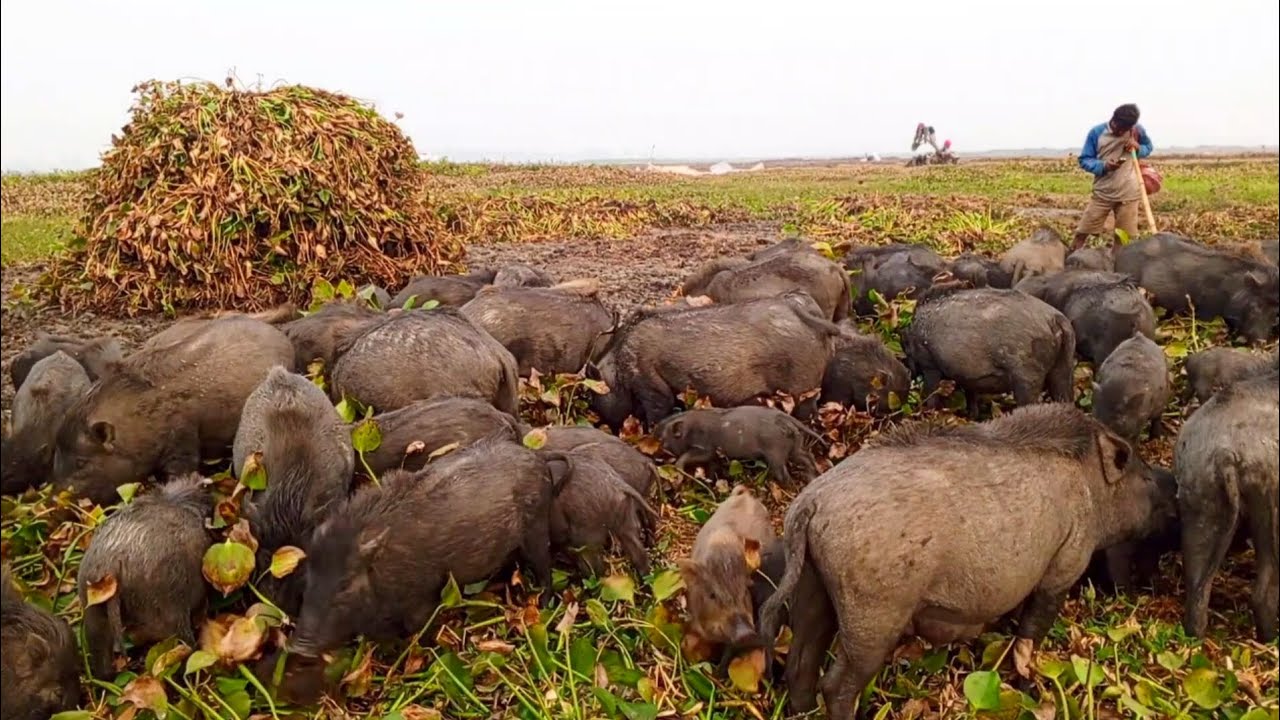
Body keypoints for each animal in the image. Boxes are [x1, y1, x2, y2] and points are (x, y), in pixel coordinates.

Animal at [286, 440, 569, 657]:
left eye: (345, 585)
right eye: (309, 579)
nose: (298, 647)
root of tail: (537, 456)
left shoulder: (423, 597)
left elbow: (419, 628)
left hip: (536, 527)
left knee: (545, 566)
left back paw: (543, 605)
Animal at [654, 406, 822, 487]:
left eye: (661, 440)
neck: (690, 430)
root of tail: (786, 418)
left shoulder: (706, 448)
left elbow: (688, 456)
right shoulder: (713, 458)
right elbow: (711, 470)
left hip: (776, 455)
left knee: (784, 474)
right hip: (795, 447)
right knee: (807, 457)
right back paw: (812, 478)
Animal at [758, 403, 1178, 717]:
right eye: (1146, 479)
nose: (1172, 484)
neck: (1092, 487)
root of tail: (810, 504)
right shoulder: (1065, 562)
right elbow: (1031, 632)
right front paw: (1030, 687)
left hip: (813, 588)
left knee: (800, 664)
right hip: (874, 616)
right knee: (836, 685)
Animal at [903, 286, 1076, 418]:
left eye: (908, 351)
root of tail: (1056, 318)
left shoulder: (928, 362)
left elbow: (931, 391)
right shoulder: (968, 377)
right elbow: (971, 395)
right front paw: (972, 417)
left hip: (1027, 376)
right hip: (1064, 367)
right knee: (1065, 398)